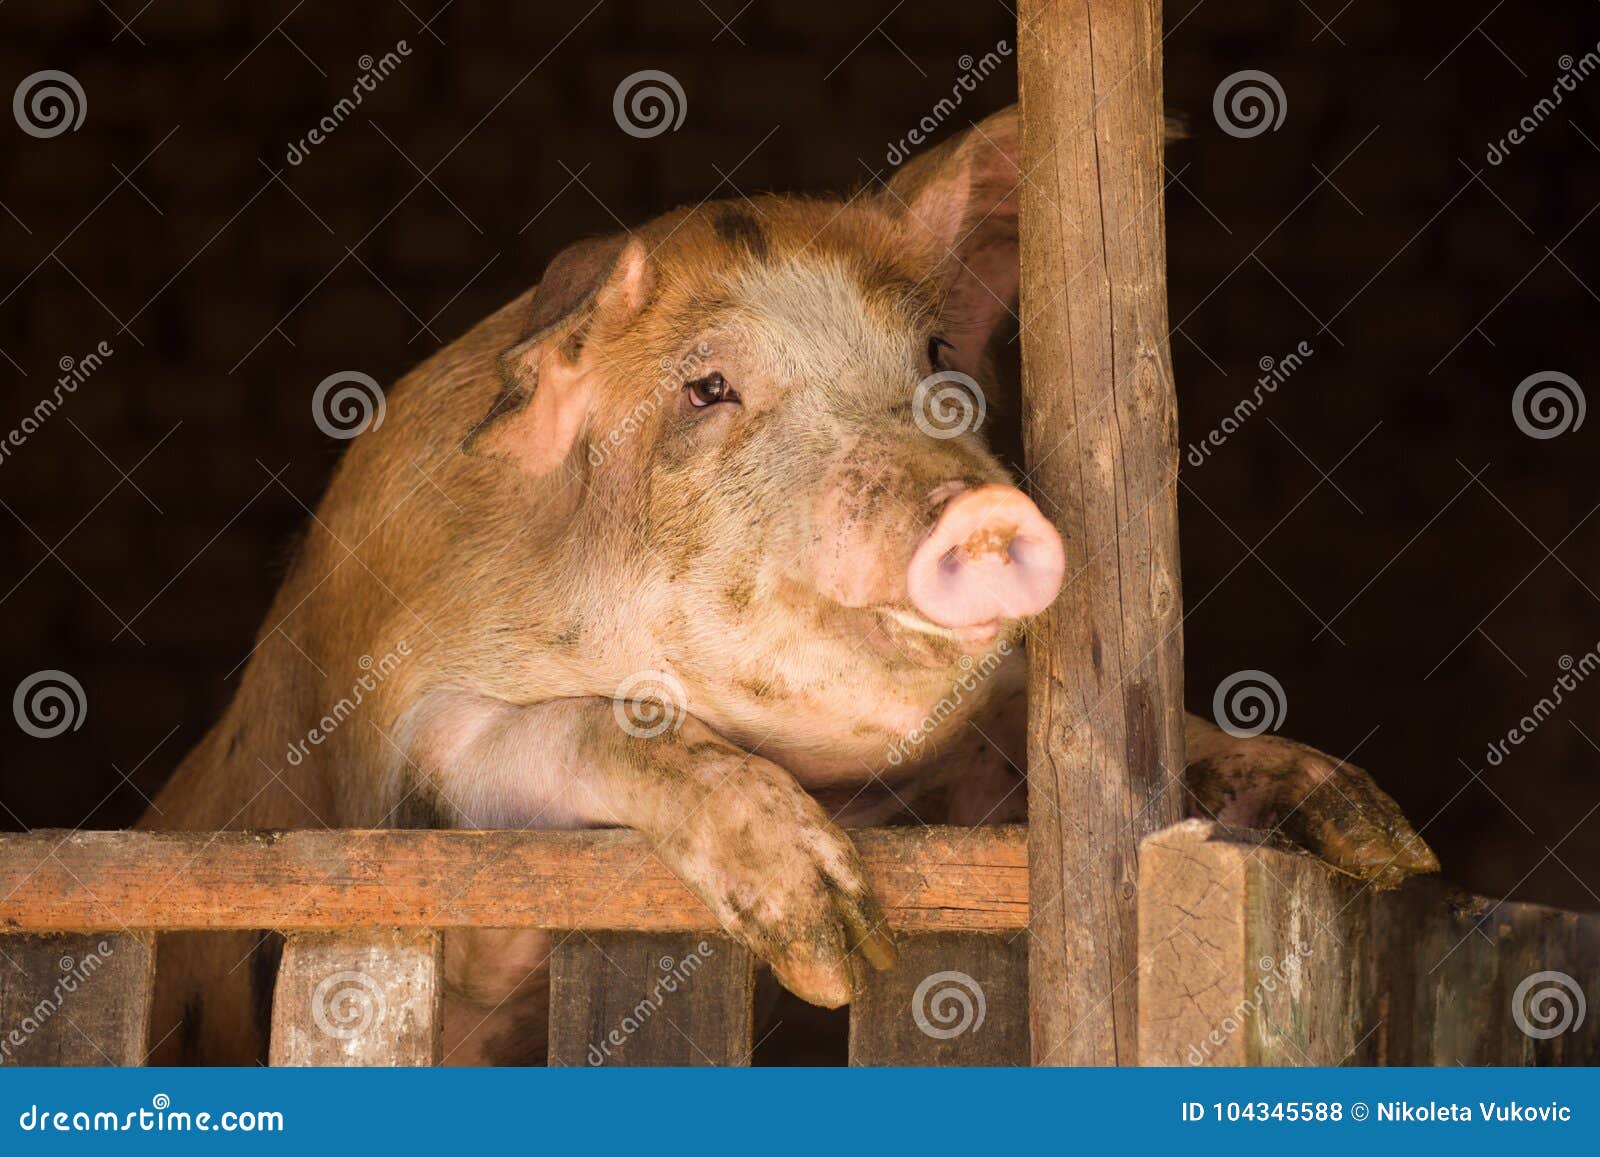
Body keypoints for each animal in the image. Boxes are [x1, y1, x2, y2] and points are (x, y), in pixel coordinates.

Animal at [141, 105, 1436, 1065]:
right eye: (706, 387)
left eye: (934, 358)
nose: (984, 510)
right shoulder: (398, 737)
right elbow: (577, 732)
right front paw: (836, 942)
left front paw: (1372, 834)